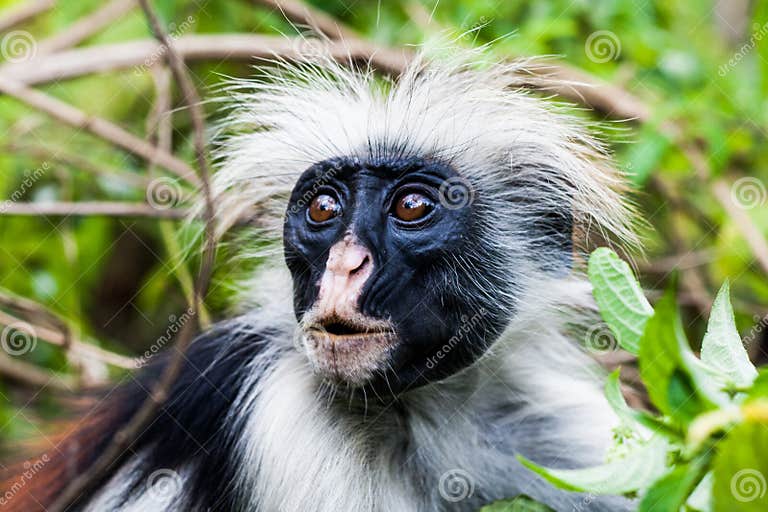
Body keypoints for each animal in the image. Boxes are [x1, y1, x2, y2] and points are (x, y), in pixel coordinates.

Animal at [0, 52, 638, 511]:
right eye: (324, 209)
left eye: (411, 206)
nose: (344, 264)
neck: (426, 413)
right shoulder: (281, 416)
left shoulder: (573, 442)